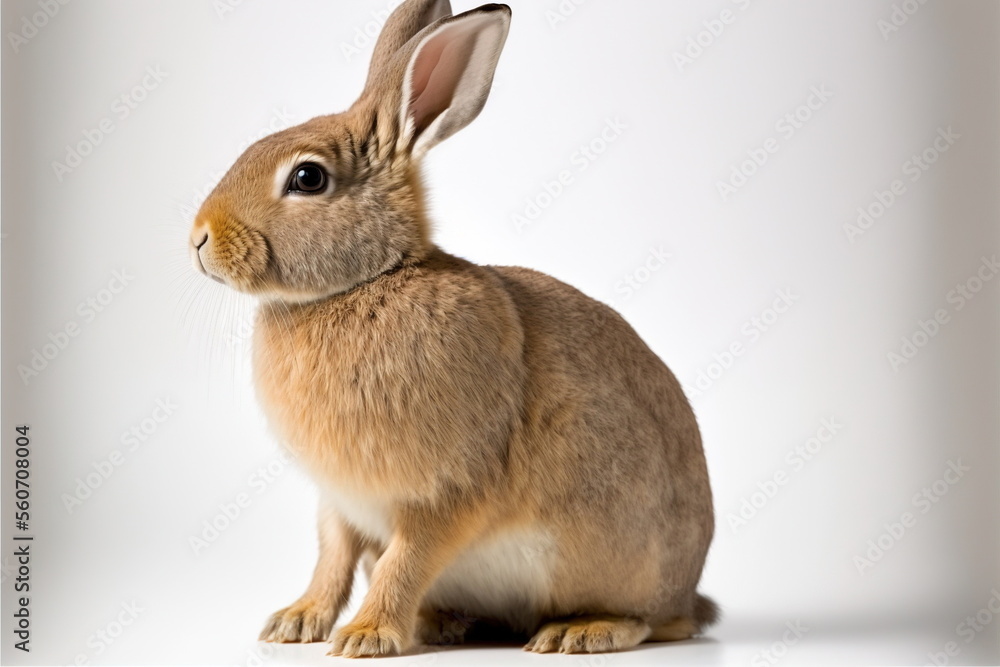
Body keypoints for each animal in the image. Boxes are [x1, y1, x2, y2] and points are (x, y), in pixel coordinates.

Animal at [189, 0, 716, 657]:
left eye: (307, 179)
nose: (199, 239)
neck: (368, 281)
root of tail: (689, 591)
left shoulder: (445, 493)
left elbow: (404, 562)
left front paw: (365, 637)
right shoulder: (338, 501)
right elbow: (331, 560)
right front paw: (295, 622)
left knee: (648, 620)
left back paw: (579, 630)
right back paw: (444, 623)